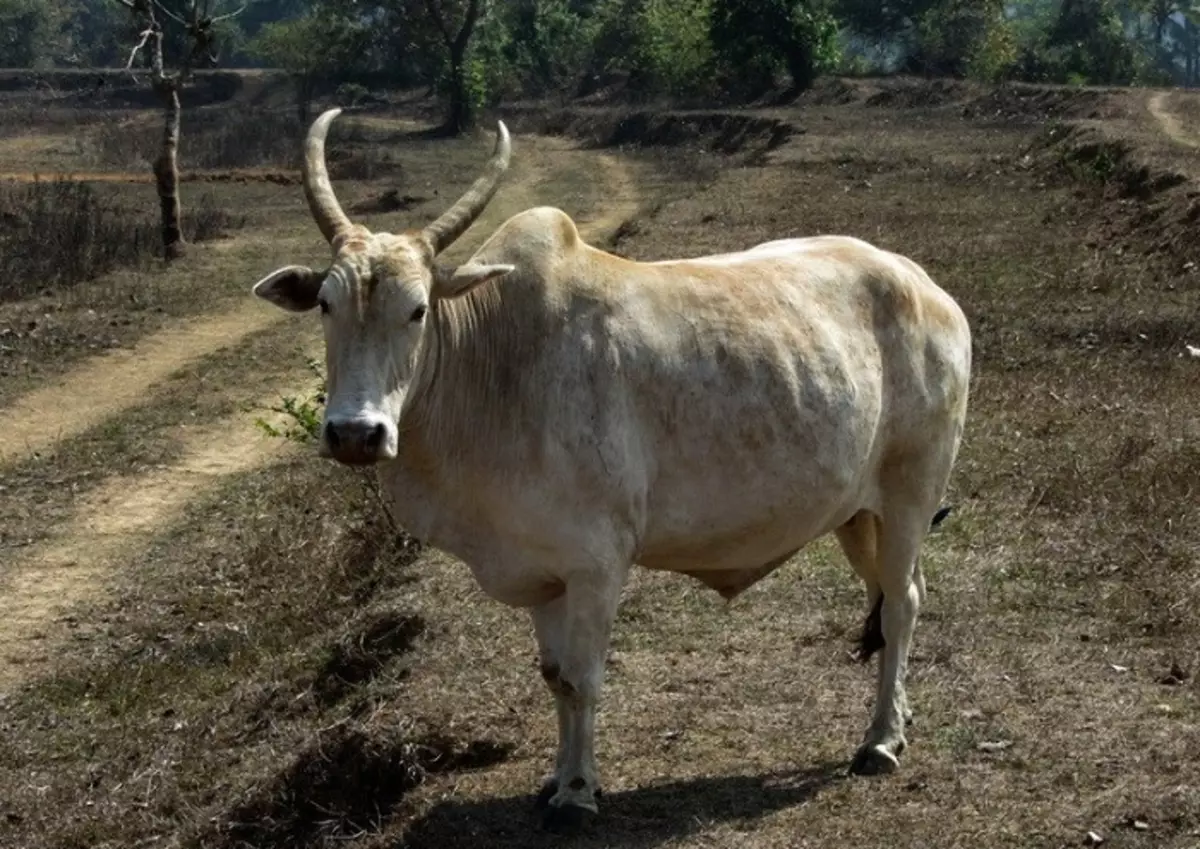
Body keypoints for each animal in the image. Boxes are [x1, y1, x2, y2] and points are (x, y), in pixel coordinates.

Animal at [248, 109, 969, 834]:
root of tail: (922, 283)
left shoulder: (597, 563)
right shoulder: (544, 575)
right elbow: (555, 678)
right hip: (858, 512)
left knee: (902, 604)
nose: (356, 433)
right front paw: (554, 778)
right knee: (896, 594)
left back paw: (880, 740)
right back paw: (899, 718)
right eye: (326, 304)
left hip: (912, 493)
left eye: (418, 309)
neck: (495, 364)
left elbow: (584, 679)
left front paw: (578, 792)